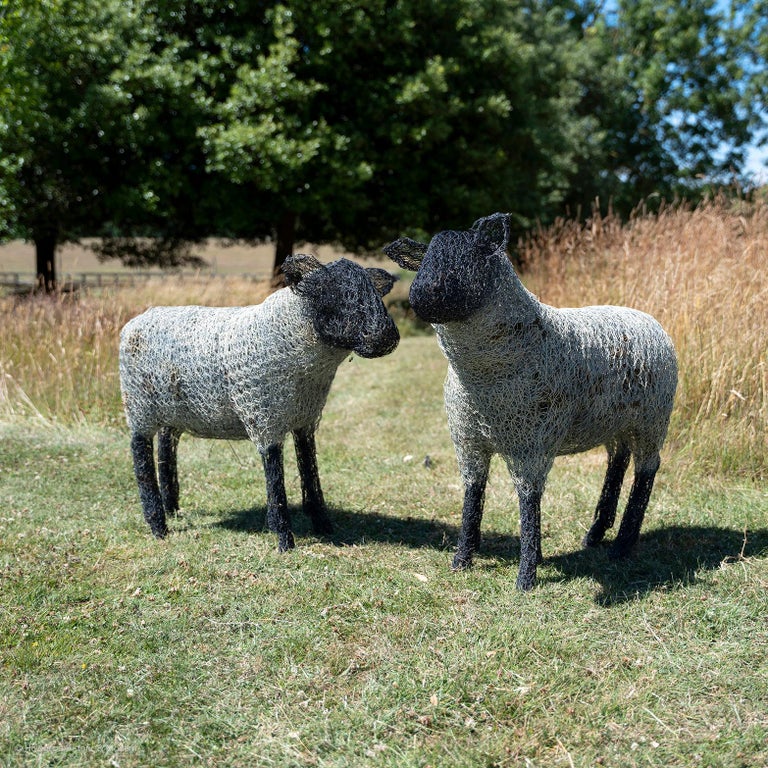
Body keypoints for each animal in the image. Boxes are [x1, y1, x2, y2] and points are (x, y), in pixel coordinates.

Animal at [119, 254, 399, 551]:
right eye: (332, 292)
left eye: (375, 293)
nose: (385, 337)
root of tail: (137, 320)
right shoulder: (264, 417)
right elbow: (275, 475)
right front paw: (284, 539)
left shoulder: (305, 418)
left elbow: (309, 466)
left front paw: (323, 524)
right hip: (139, 408)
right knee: (141, 454)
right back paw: (158, 525)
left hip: (172, 411)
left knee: (166, 446)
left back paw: (172, 508)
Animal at [384, 213, 678, 590]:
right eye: (426, 259)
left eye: (473, 257)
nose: (420, 295)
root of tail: (648, 318)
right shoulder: (468, 440)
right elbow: (472, 495)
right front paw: (462, 559)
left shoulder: (532, 444)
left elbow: (528, 503)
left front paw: (526, 574)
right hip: (615, 422)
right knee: (617, 462)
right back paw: (596, 534)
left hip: (652, 421)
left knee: (646, 471)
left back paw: (622, 545)